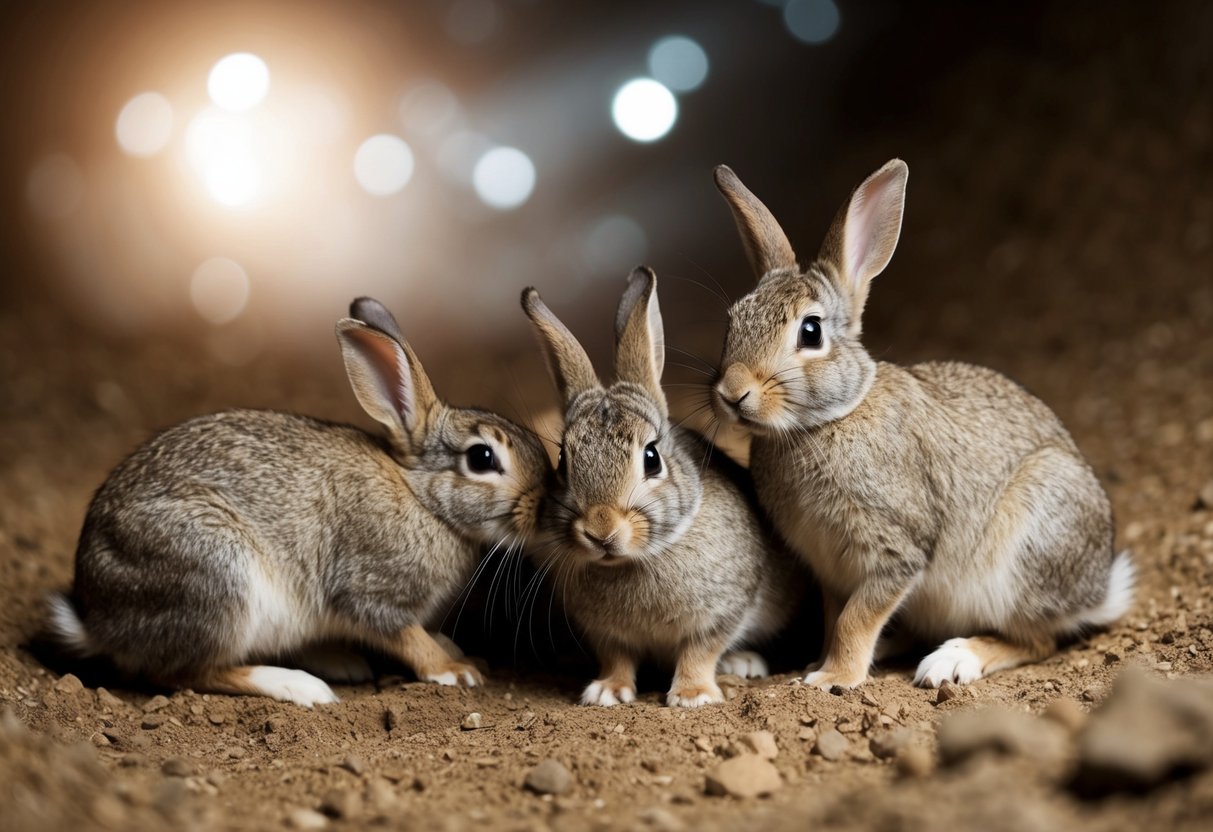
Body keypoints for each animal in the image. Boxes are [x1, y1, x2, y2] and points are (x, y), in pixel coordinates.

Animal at [45, 297, 549, 706]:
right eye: (482, 458)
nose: (545, 505)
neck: (422, 499)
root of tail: (98, 621)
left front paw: (455, 651)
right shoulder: (369, 592)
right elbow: (407, 637)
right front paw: (455, 669)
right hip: (217, 578)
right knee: (183, 672)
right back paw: (301, 686)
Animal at [521, 267, 804, 708]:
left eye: (652, 458)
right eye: (564, 463)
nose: (601, 531)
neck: (634, 560)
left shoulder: (721, 612)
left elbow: (700, 651)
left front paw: (692, 695)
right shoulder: (604, 635)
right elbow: (617, 657)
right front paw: (606, 692)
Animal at [710, 159, 1134, 689]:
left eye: (810, 332)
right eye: (731, 321)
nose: (732, 393)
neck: (827, 421)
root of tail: (1098, 590)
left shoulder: (896, 551)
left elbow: (856, 619)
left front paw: (833, 678)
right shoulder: (832, 571)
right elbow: (835, 618)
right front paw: (818, 665)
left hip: (1025, 553)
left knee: (1037, 641)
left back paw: (952, 660)